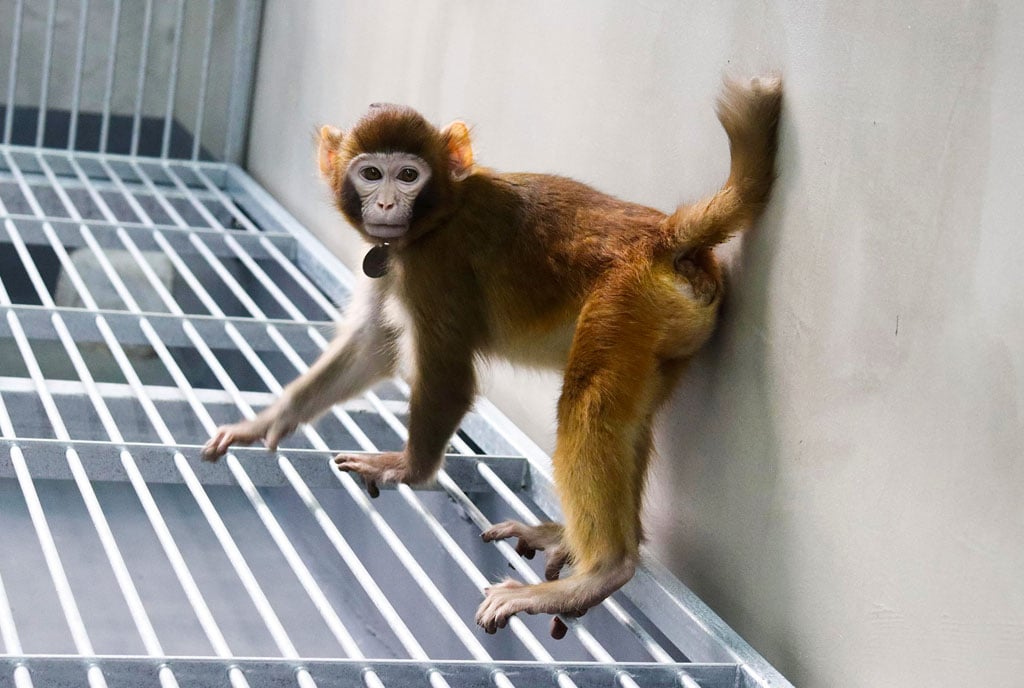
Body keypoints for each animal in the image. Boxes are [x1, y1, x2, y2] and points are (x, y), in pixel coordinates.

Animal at [202, 76, 783, 638]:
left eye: (407, 175)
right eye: (370, 173)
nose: (386, 205)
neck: (439, 215)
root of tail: (664, 238)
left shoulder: (436, 265)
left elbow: (449, 376)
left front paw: (410, 469)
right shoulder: (395, 259)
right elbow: (372, 344)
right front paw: (266, 422)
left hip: (624, 301)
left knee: (588, 407)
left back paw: (601, 570)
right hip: (662, 331)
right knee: (626, 420)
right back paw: (579, 540)